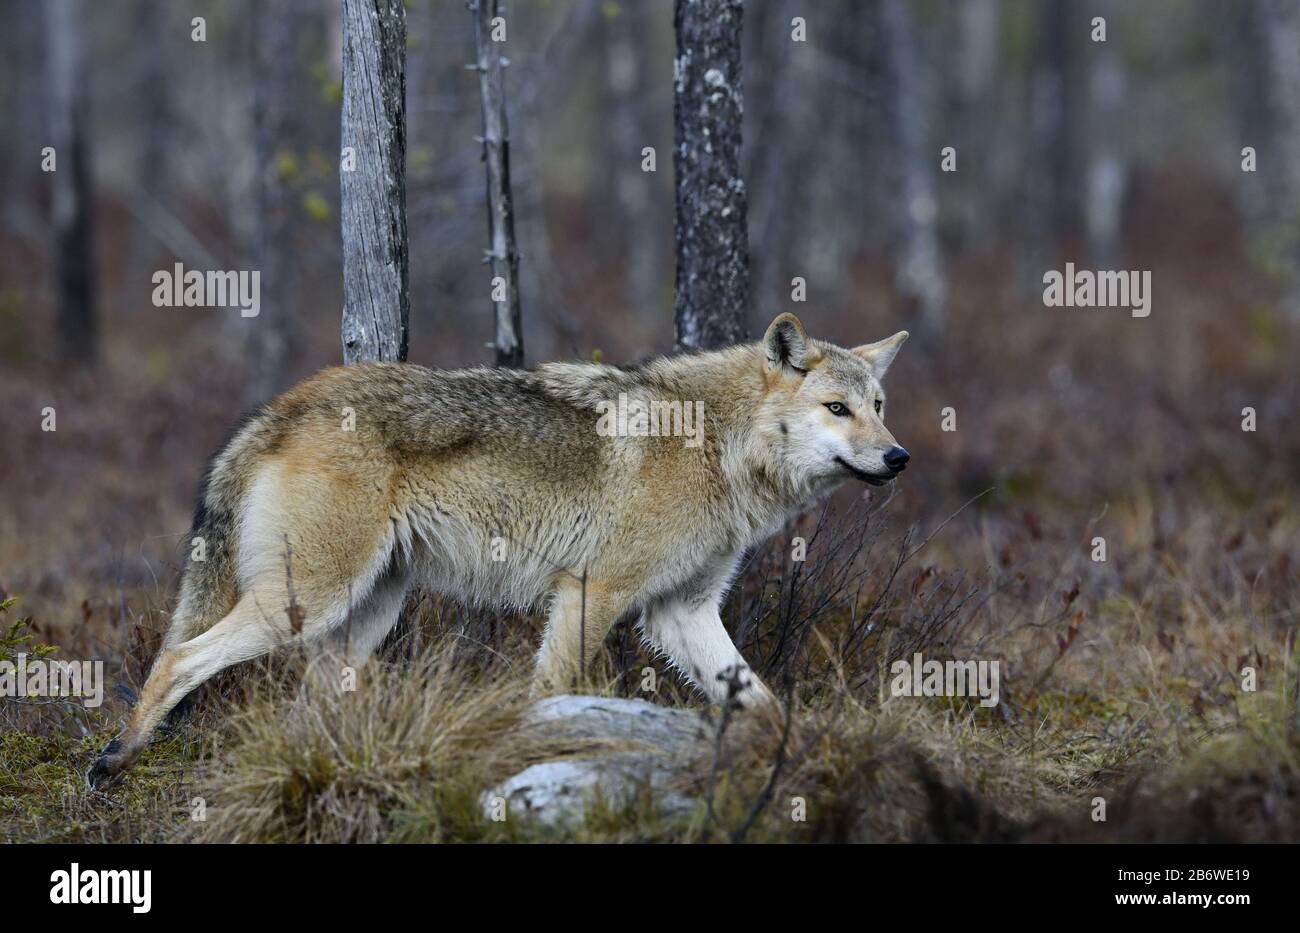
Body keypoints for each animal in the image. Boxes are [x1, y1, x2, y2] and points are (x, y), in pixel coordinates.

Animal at [88, 313, 910, 786]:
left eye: (878, 406)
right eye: (836, 408)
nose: (900, 457)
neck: (718, 443)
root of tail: (281, 407)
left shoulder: (683, 614)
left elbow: (763, 703)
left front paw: (794, 757)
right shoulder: (592, 592)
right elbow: (554, 691)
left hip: (364, 615)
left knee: (303, 701)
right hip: (306, 604)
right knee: (175, 657)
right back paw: (116, 760)